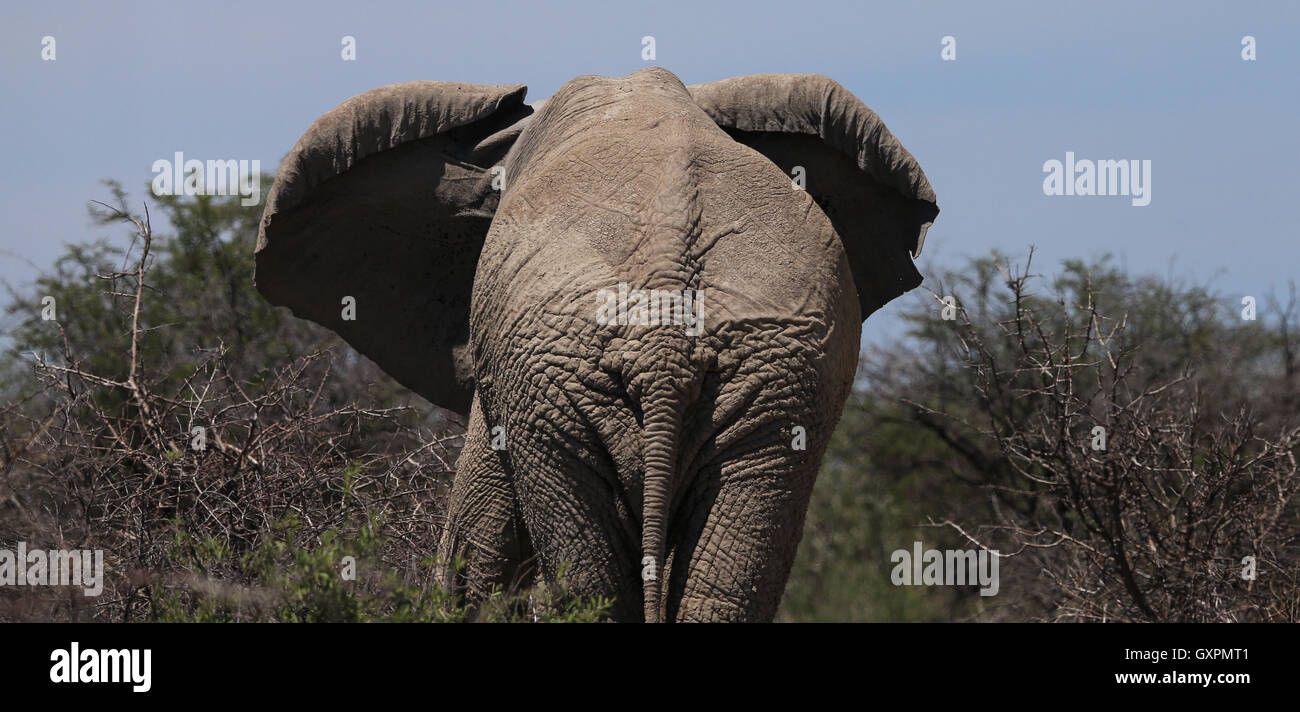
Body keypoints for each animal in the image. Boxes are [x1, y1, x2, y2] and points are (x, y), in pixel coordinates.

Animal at [254, 67, 938, 622]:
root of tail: (666, 332)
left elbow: (477, 542)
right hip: (770, 386)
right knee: (724, 580)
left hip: (563, 380)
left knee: (589, 580)